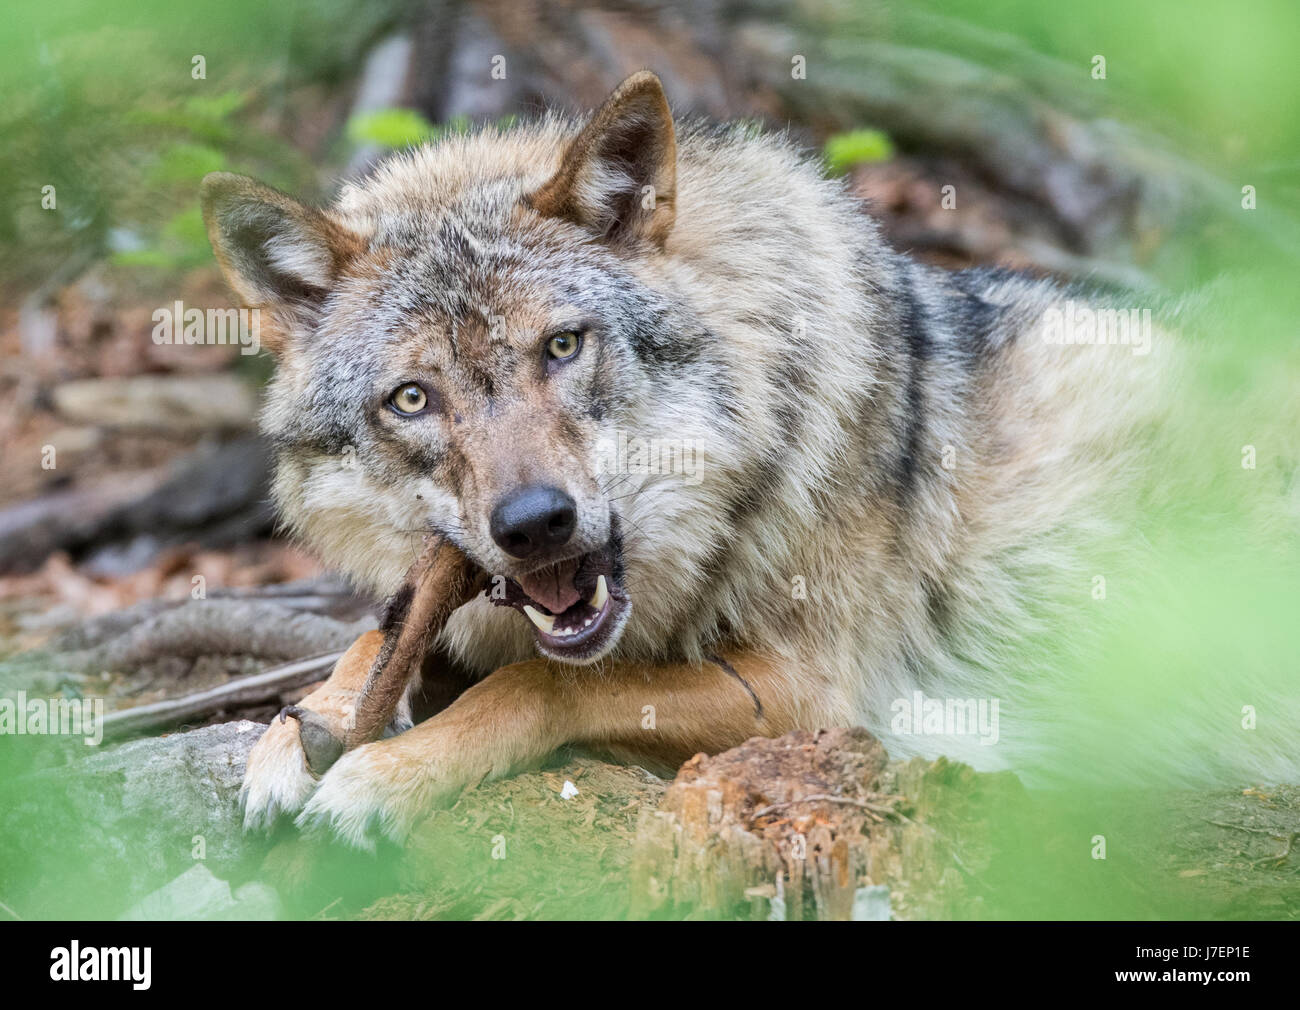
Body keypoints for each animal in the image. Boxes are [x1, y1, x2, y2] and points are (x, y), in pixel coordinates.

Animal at [202, 71, 1185, 847]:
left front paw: (385, 774)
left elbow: (537, 685)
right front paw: (301, 730)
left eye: (562, 347)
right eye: (412, 399)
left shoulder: (814, 698)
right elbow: (378, 637)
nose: (535, 524)